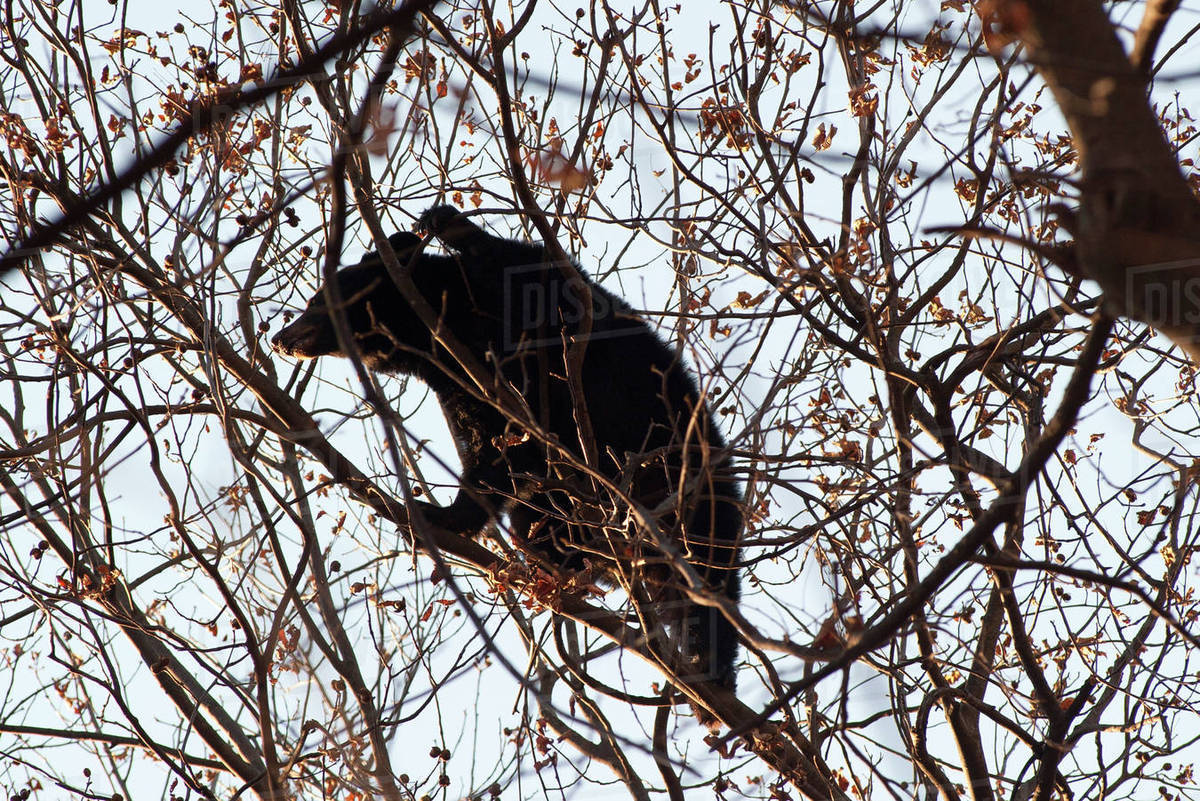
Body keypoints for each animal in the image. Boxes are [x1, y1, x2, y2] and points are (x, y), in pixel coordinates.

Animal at [271, 206, 743, 695]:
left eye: (313, 301)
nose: (279, 337)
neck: (444, 331)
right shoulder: (464, 387)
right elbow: (491, 453)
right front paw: (444, 515)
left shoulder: (528, 304)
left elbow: (532, 266)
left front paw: (440, 222)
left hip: (688, 478)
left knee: (711, 577)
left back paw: (709, 659)